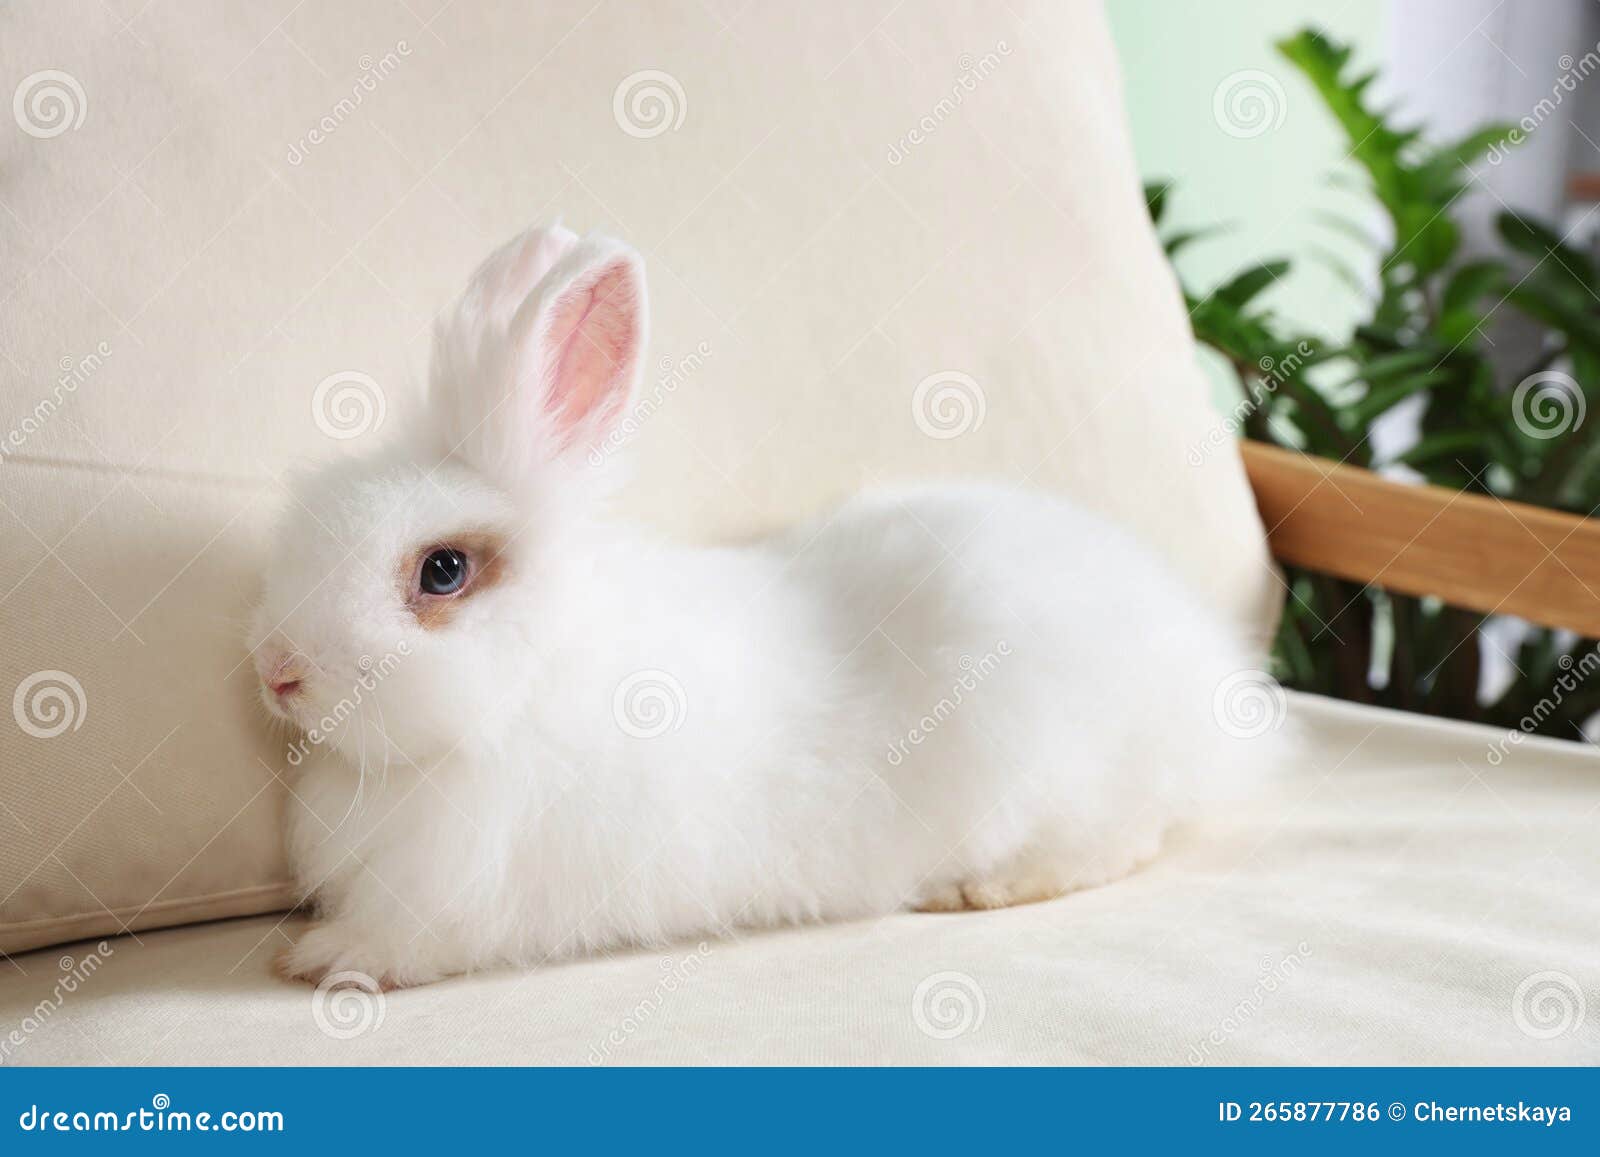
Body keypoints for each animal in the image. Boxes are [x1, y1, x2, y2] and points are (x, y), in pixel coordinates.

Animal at [250, 222, 1284, 989]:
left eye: (443, 571)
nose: (275, 669)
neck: (527, 685)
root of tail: (1208, 675)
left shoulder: (478, 891)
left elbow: (410, 943)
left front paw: (323, 957)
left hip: (1064, 773)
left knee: (1122, 838)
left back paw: (980, 889)